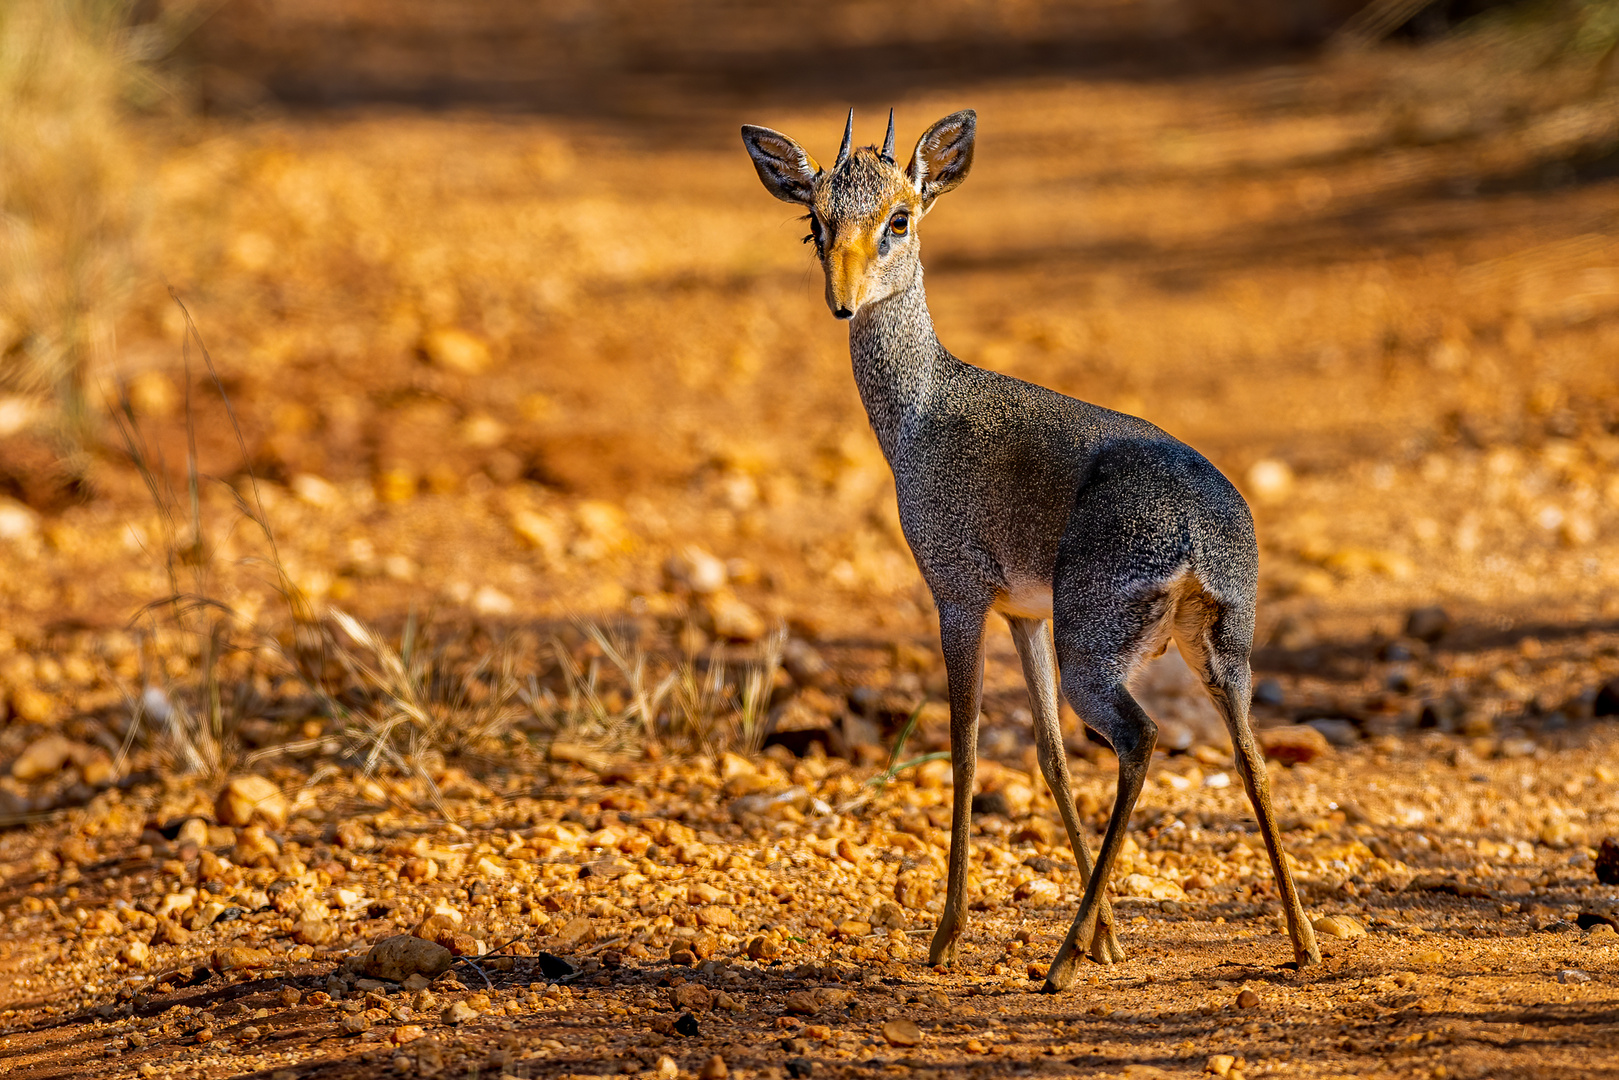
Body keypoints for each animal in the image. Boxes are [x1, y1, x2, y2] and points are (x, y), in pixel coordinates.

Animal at [741, 107, 1321, 990]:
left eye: (899, 218)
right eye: (814, 221)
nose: (841, 303)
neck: (920, 410)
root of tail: (1194, 531)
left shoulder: (956, 595)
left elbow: (965, 749)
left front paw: (946, 937)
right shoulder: (1024, 613)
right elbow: (1048, 755)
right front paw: (1111, 935)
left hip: (1100, 649)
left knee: (1140, 738)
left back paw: (1059, 960)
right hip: (1219, 648)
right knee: (1249, 755)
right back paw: (1300, 942)